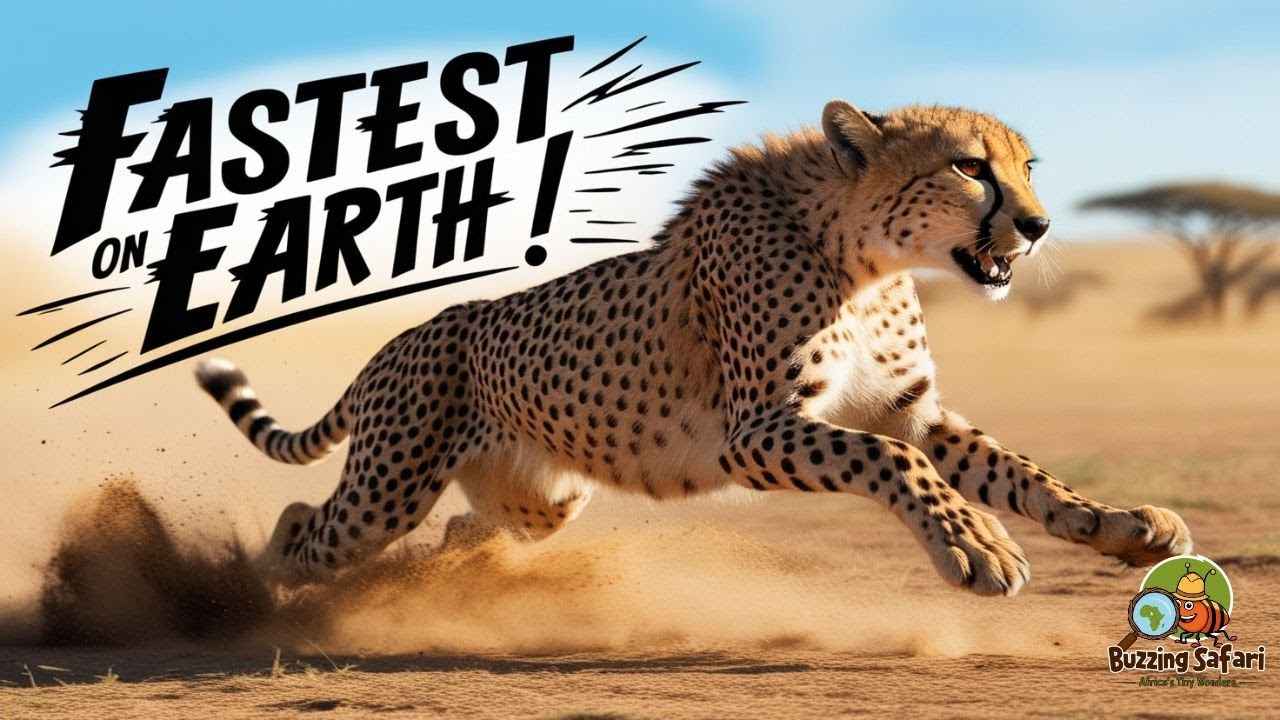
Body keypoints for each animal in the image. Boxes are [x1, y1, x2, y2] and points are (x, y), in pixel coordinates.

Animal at [196, 99, 1193, 595]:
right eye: (969, 167)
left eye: (1027, 167)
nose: (1038, 224)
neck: (863, 257)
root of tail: (400, 340)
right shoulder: (756, 430)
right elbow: (901, 466)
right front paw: (977, 546)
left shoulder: (909, 409)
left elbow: (1014, 468)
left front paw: (1117, 525)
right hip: (387, 489)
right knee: (307, 527)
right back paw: (246, 598)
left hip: (542, 498)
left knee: (462, 526)